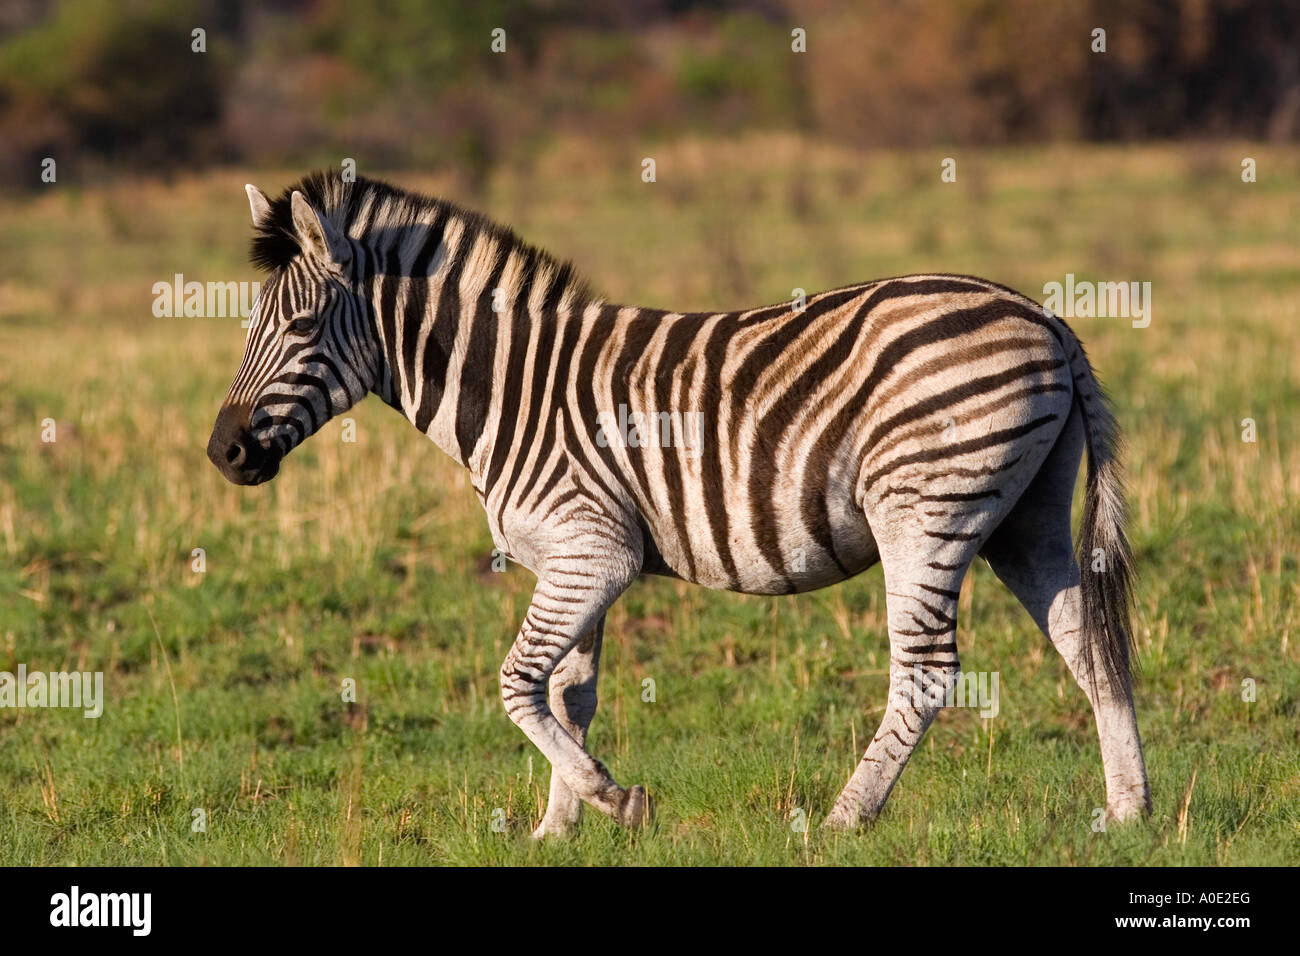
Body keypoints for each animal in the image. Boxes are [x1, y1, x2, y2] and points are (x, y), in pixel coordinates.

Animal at [208, 171, 1151, 835]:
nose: (224, 454)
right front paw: (558, 829)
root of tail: (1044, 317)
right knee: (1089, 645)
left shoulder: (594, 550)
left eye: (298, 329)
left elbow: (517, 684)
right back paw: (1128, 811)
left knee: (925, 672)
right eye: (248, 325)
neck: (513, 389)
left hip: (925, 511)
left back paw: (844, 819)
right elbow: (566, 693)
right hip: (1023, 520)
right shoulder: (570, 559)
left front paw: (614, 801)